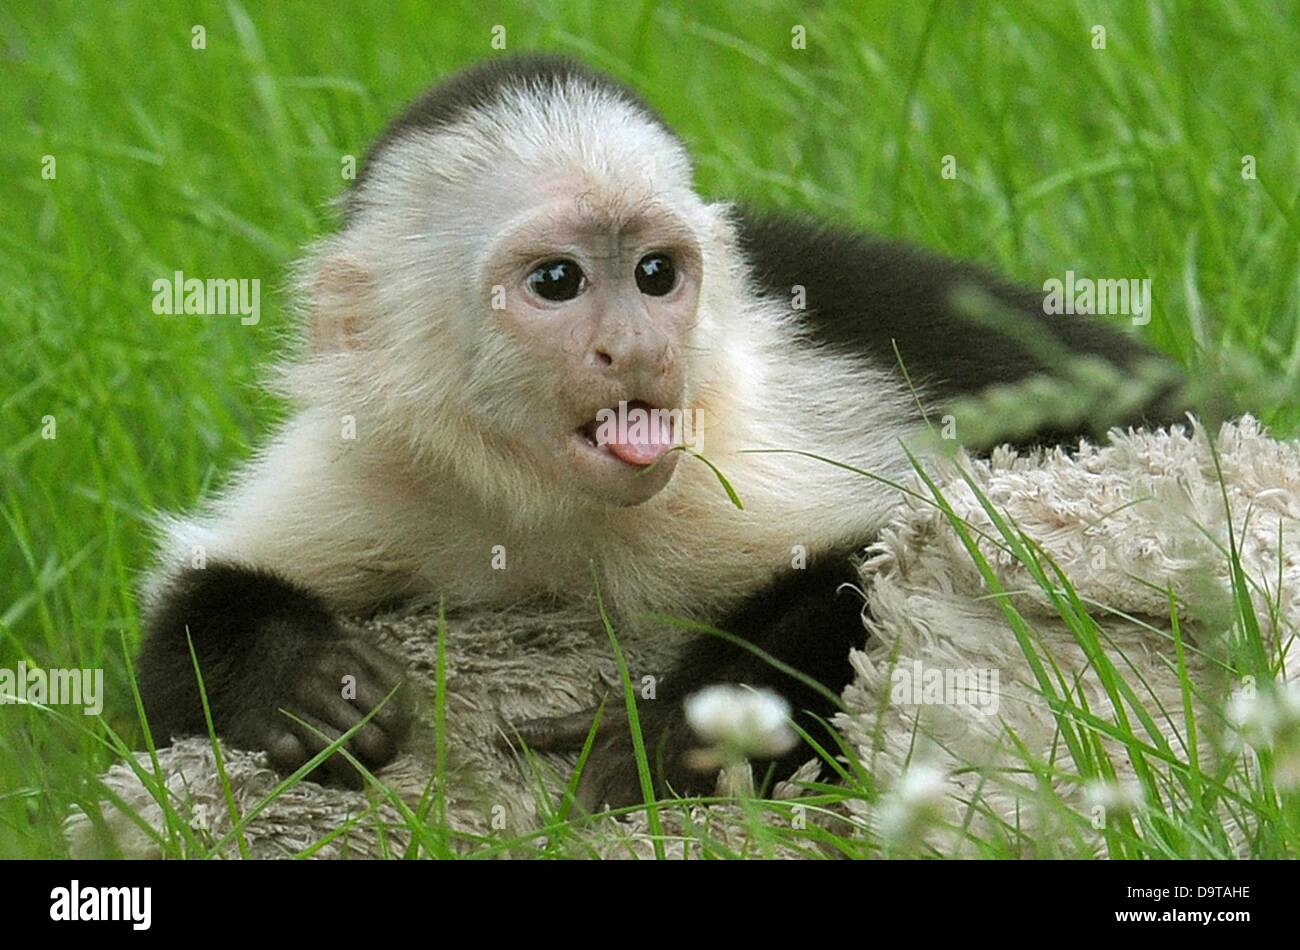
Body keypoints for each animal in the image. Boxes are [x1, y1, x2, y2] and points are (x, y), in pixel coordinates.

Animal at [135, 54, 1184, 808]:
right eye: (558, 280)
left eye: (655, 275)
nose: (637, 345)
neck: (536, 500)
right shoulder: (369, 453)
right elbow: (160, 661)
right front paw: (296, 674)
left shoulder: (747, 439)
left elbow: (903, 552)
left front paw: (683, 730)